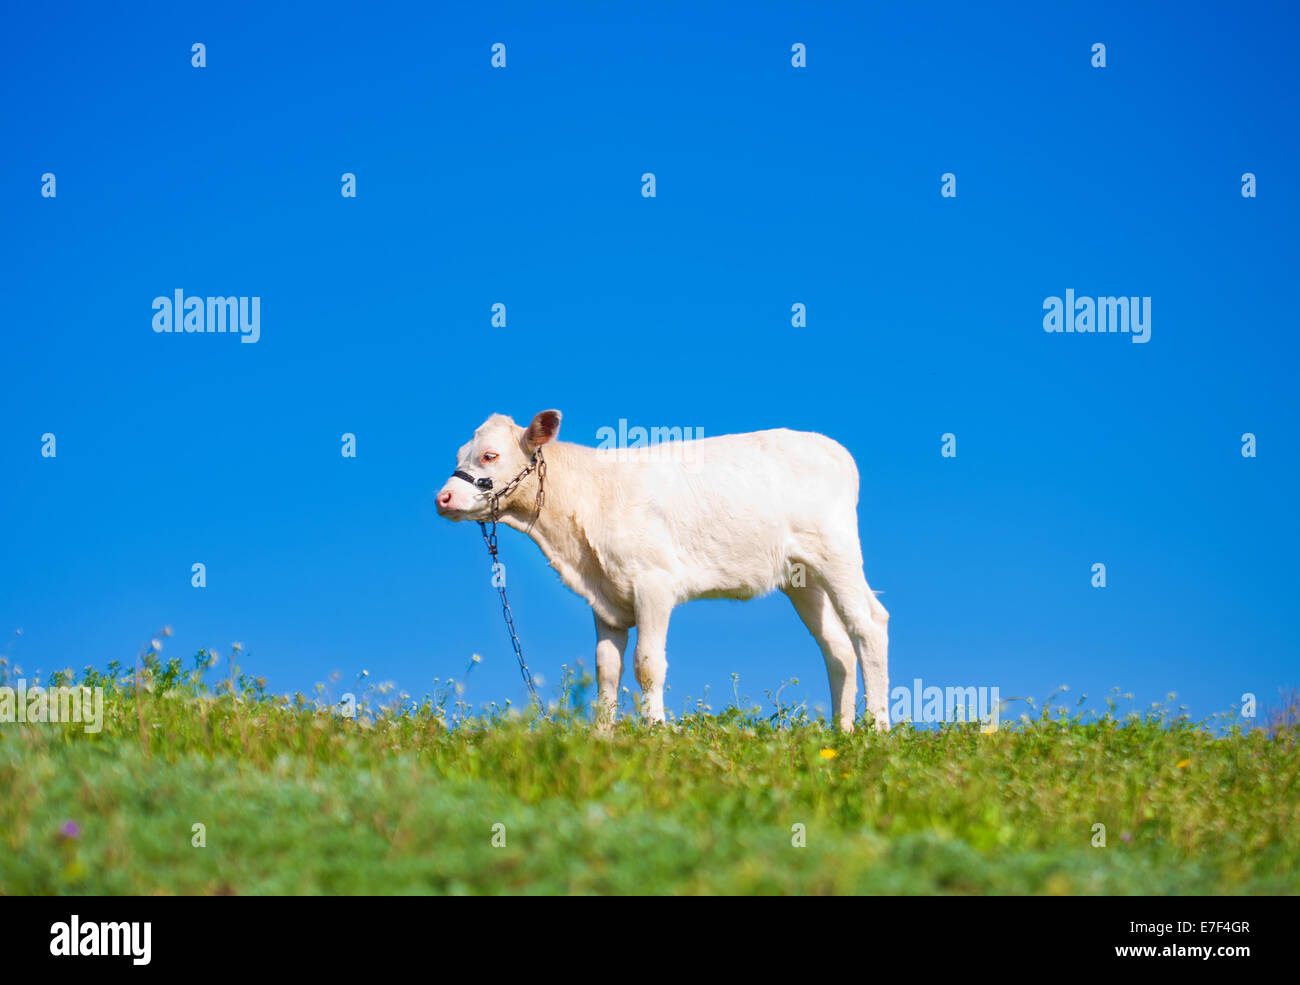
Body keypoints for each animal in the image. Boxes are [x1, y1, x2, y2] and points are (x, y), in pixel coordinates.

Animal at [435, 410, 890, 731]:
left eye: (490, 455)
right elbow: (607, 670)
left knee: (869, 625)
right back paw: (842, 732)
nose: (443, 498)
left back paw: (877, 729)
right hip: (802, 576)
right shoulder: (605, 601)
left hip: (836, 552)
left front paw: (655, 731)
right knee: (837, 646)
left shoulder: (653, 582)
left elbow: (647, 663)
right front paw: (602, 735)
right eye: (459, 455)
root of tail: (830, 447)